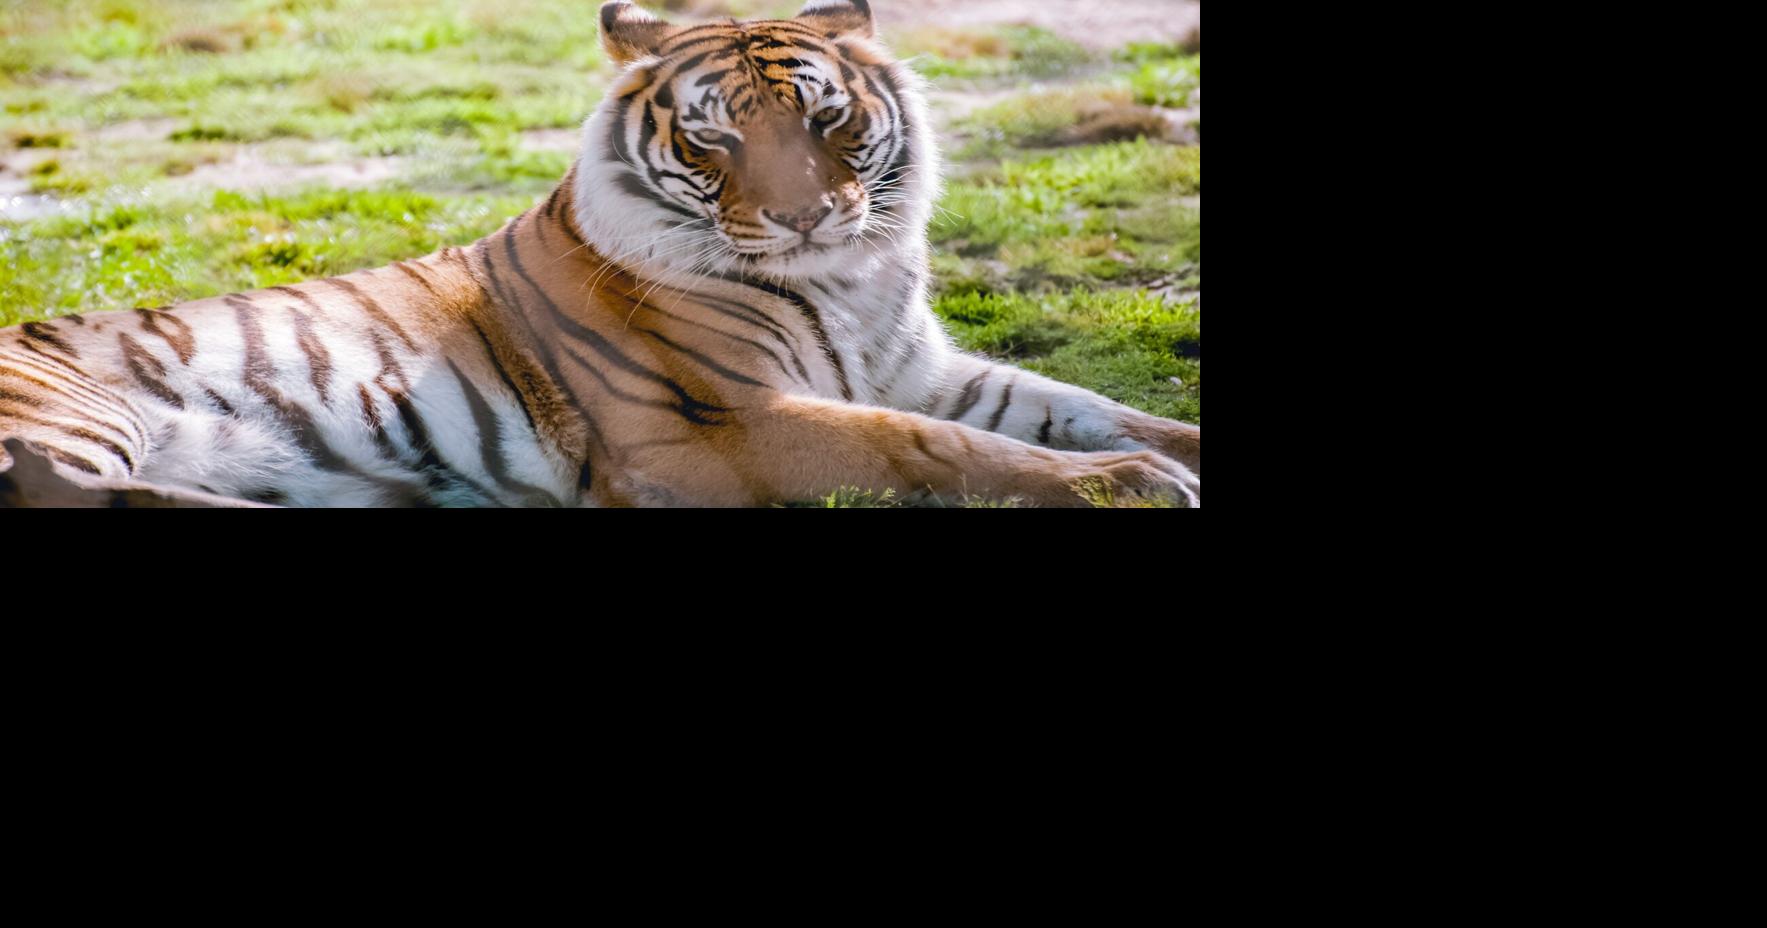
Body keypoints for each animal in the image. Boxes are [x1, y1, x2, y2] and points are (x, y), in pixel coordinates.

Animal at [0, 0, 1201, 509]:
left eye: (825, 119)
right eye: (716, 139)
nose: (809, 217)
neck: (855, 280)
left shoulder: (929, 369)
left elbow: (1085, 406)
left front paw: (1159, 446)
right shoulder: (724, 422)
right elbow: (935, 449)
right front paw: (1129, 483)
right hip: (81, 414)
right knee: (64, 497)